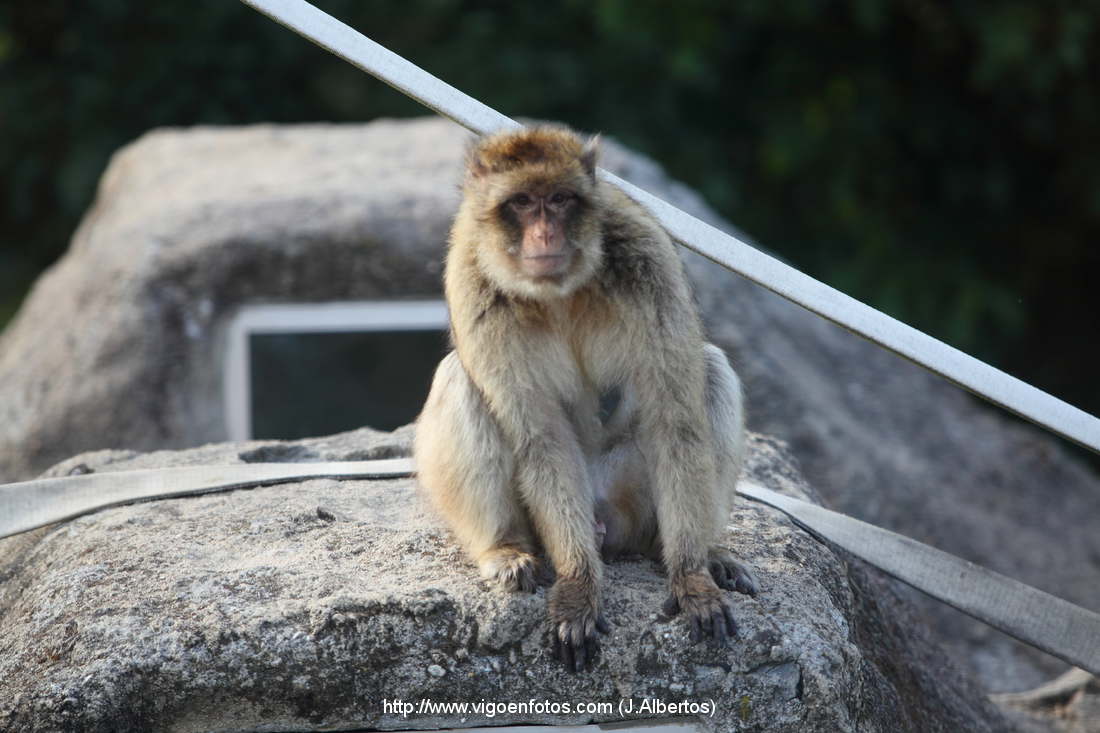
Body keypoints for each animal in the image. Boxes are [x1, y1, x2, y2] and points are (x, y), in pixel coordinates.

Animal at [414, 125, 757, 672]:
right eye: (522, 202)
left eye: (559, 199)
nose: (544, 235)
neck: (559, 290)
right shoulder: (472, 279)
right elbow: (542, 439)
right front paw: (578, 587)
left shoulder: (647, 259)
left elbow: (676, 421)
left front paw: (691, 578)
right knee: (462, 381)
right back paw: (504, 551)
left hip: (633, 499)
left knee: (711, 371)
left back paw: (696, 551)